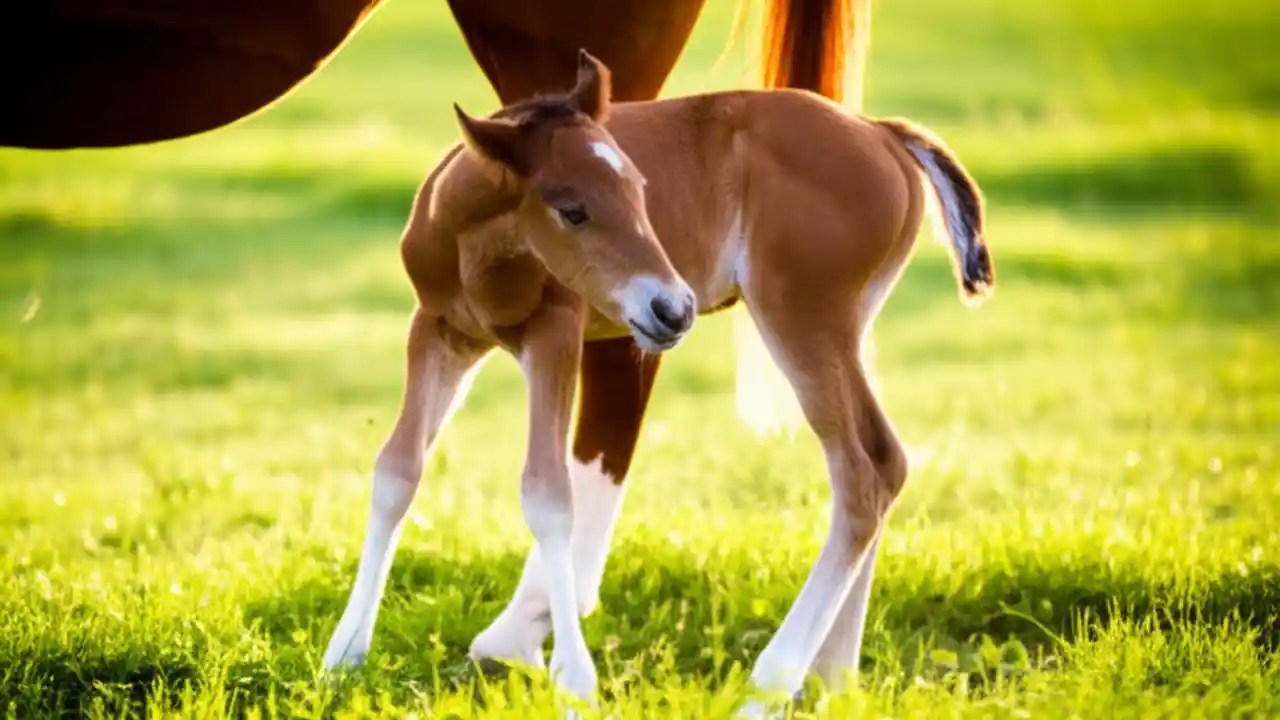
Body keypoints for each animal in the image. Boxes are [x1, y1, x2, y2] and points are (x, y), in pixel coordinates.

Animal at [322, 50, 994, 711]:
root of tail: (881, 132)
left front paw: (573, 679)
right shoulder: (439, 331)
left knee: (862, 472)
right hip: (842, 326)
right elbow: (396, 471)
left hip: (802, 315)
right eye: (572, 211)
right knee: (883, 457)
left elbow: (548, 493)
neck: (475, 246)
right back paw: (830, 678)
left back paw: (770, 686)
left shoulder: (553, 335)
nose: (674, 309)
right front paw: (343, 656)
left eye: (641, 192)